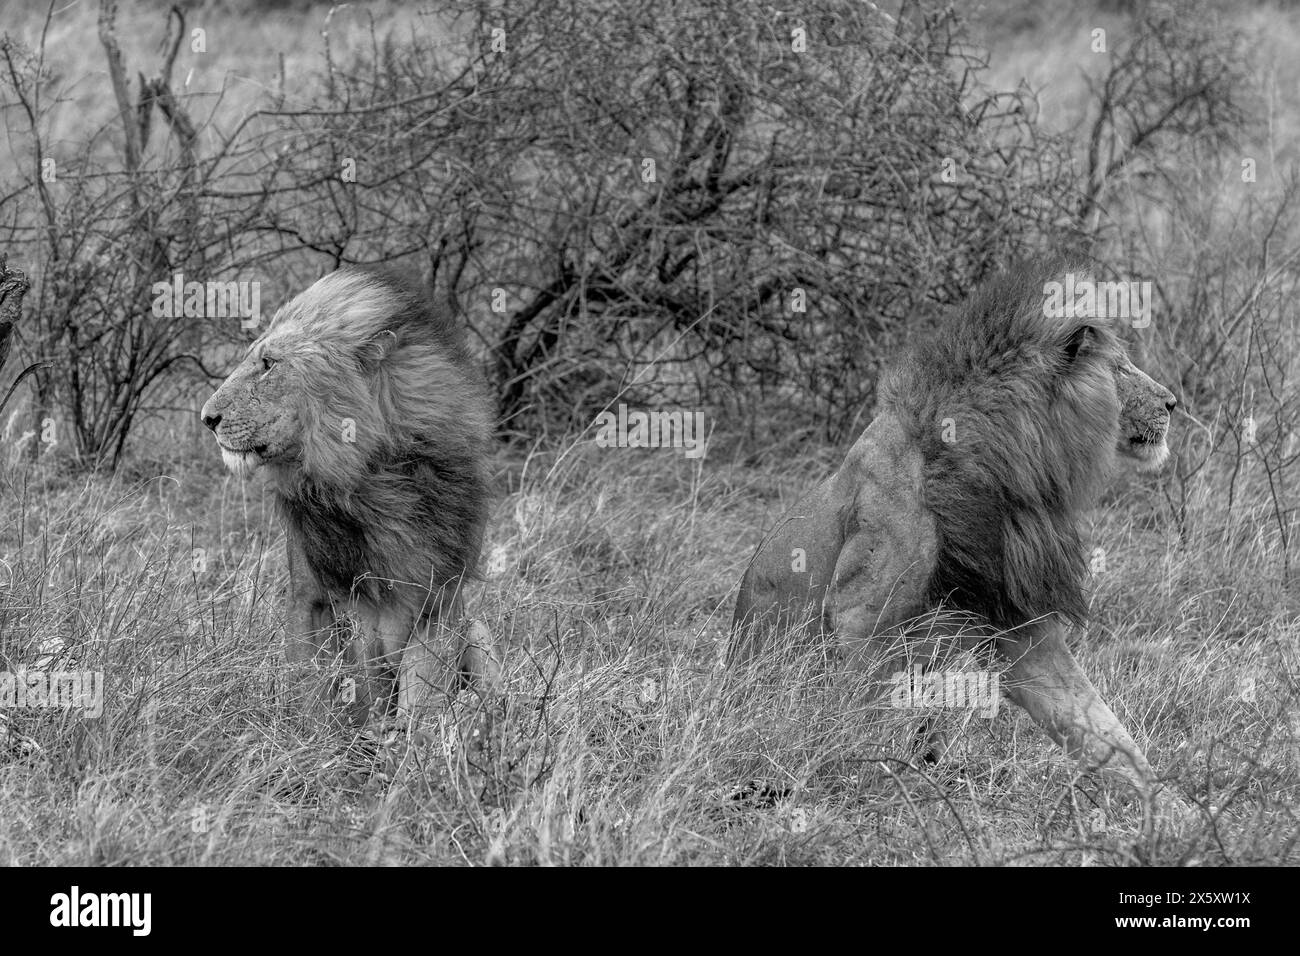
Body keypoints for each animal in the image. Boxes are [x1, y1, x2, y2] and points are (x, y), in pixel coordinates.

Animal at [200, 266, 502, 726]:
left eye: (269, 365)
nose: (207, 418)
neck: (374, 480)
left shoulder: (440, 597)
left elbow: (422, 700)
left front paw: (408, 742)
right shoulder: (318, 597)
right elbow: (320, 686)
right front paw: (319, 739)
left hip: (478, 628)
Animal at [730, 260, 1179, 808]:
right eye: (1120, 369)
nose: (1173, 404)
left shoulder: (1016, 618)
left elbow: (1099, 726)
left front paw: (1174, 812)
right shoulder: (860, 618)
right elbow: (860, 716)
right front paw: (866, 786)